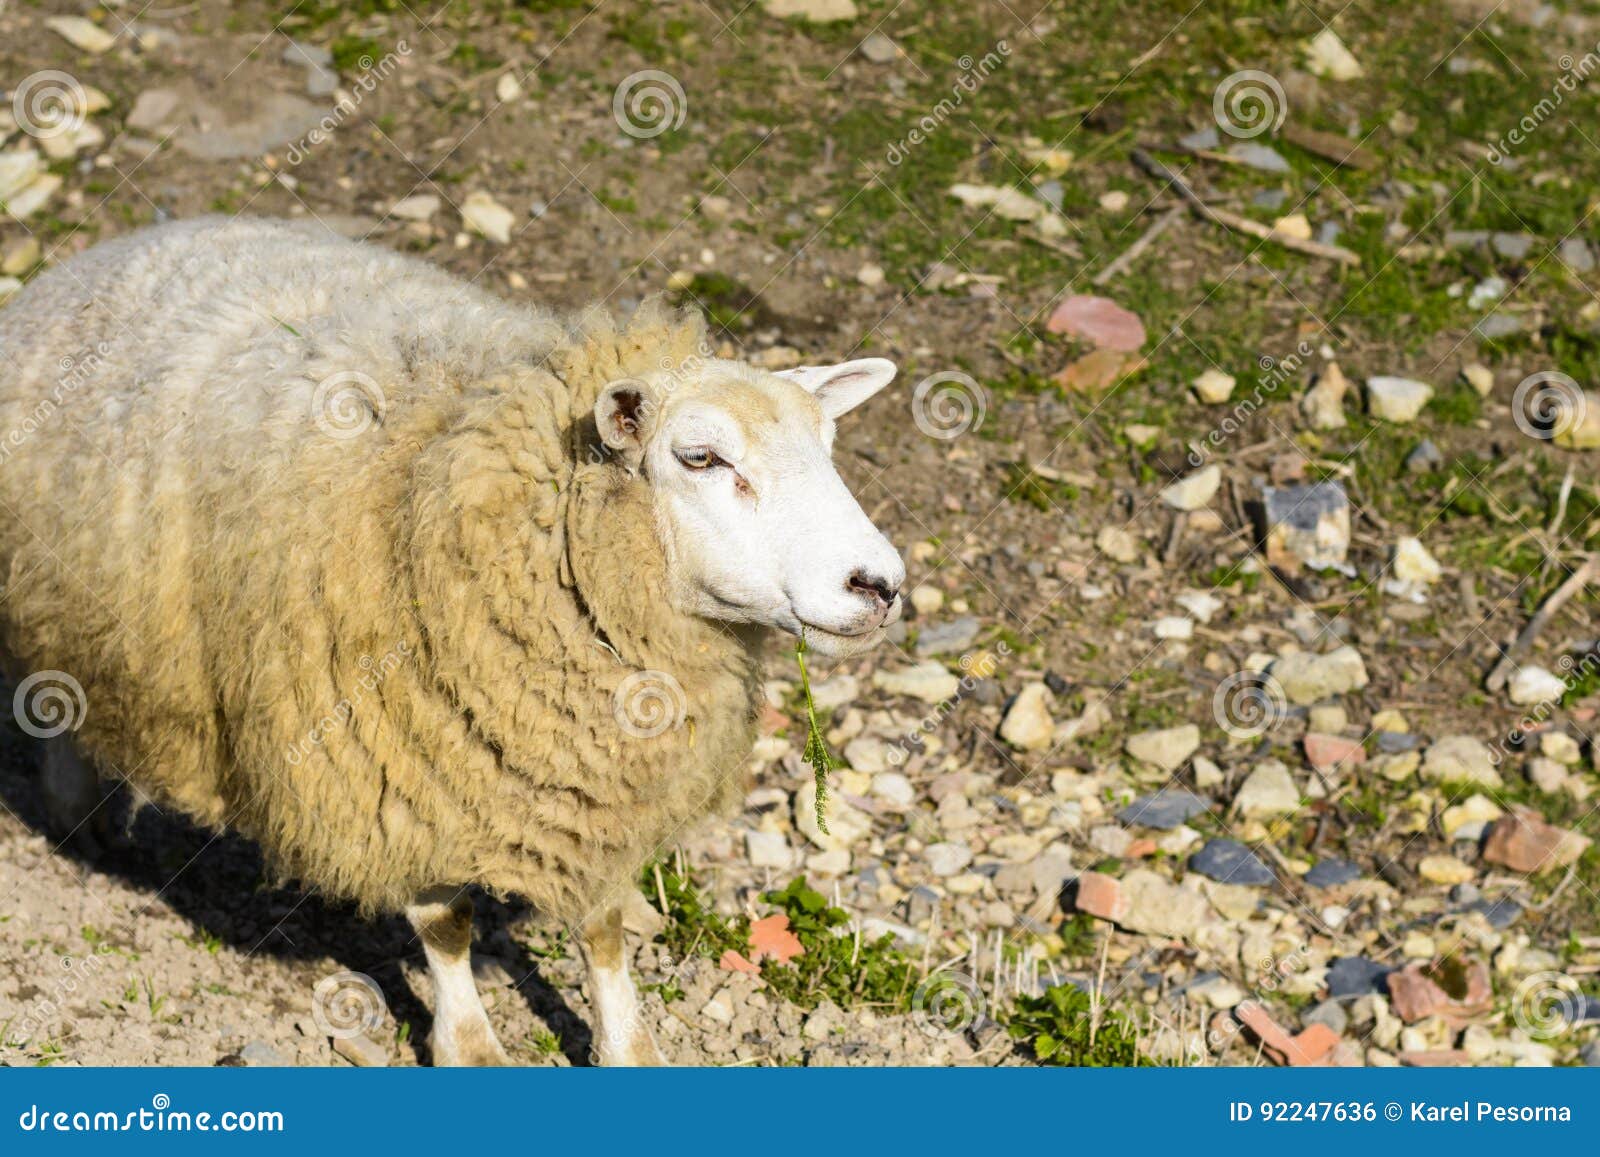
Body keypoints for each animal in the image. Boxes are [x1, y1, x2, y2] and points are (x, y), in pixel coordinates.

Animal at [0, 216, 905, 1065]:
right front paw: (470, 1045)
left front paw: (628, 1046)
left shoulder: (599, 782)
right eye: (702, 456)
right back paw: (82, 817)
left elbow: (603, 927)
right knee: (57, 706)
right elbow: (445, 922)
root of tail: (119, 245)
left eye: (827, 447)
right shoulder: (398, 757)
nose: (881, 583)